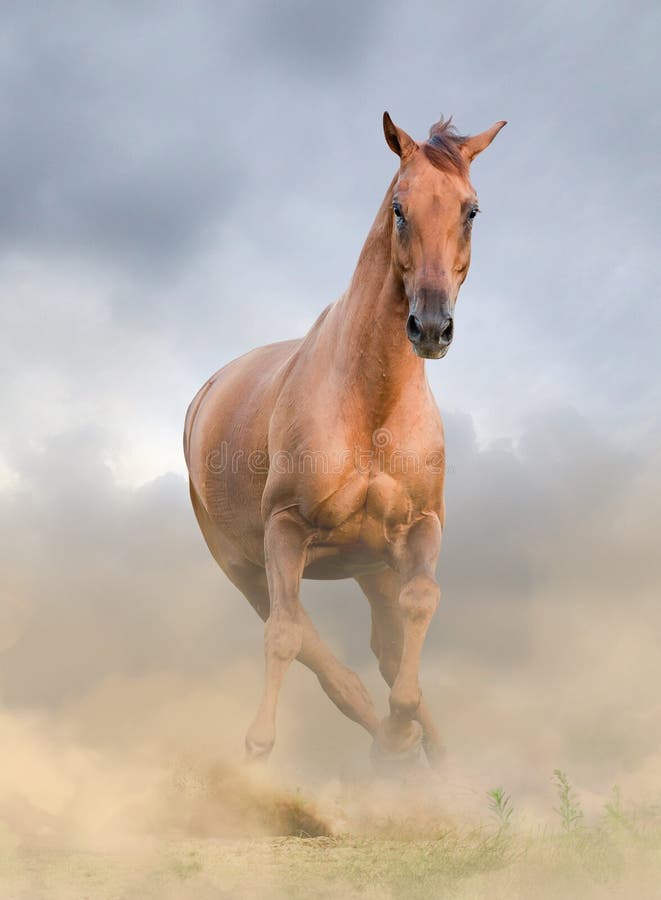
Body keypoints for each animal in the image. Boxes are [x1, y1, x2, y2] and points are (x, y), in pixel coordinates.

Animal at [184, 111, 506, 768]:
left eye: (471, 210)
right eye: (400, 207)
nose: (430, 326)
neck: (371, 408)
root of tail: (208, 390)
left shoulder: (420, 528)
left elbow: (421, 605)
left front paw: (409, 729)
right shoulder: (285, 529)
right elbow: (283, 637)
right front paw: (258, 746)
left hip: (371, 564)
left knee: (381, 646)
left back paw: (417, 751)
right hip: (245, 566)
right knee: (306, 640)